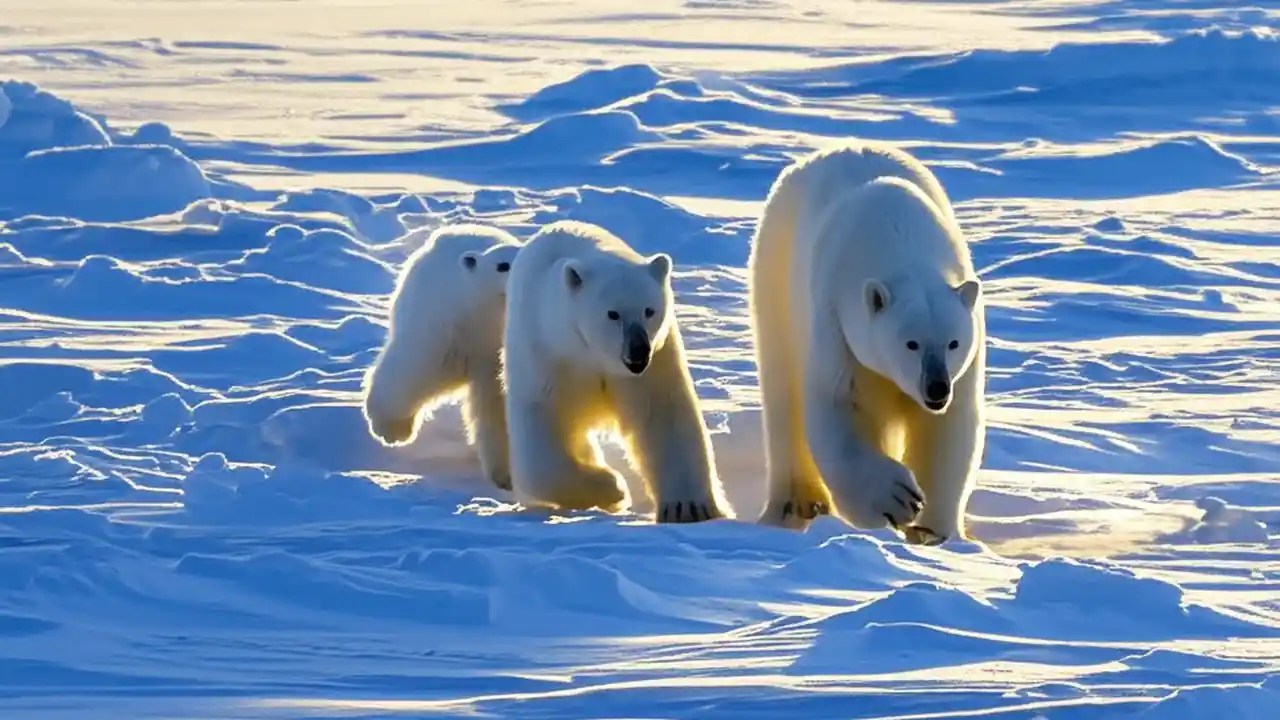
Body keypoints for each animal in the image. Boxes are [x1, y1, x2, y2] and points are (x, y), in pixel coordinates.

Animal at [502, 220, 728, 523]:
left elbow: (662, 415)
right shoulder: (546, 357)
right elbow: (543, 447)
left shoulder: (654, 362)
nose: (638, 351)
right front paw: (613, 487)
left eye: (649, 310)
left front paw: (688, 508)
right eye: (613, 314)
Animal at [747, 142, 985, 545]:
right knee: (783, 391)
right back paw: (793, 505)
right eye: (910, 343)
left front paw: (935, 530)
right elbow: (839, 406)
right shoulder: (836, 322)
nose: (936, 389)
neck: (900, 235)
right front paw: (896, 498)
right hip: (776, 277)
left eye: (953, 343)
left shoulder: (966, 363)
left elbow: (948, 429)